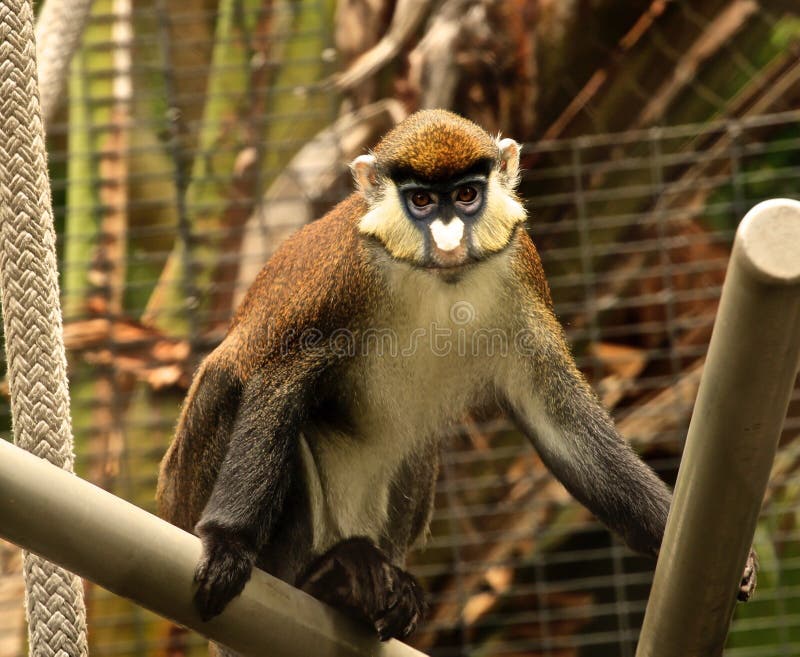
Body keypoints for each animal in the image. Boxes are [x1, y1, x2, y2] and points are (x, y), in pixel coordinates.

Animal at [157, 109, 757, 648]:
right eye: (421, 201)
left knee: (416, 452)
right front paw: (228, 546)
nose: (448, 236)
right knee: (230, 386)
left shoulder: (522, 274)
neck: (433, 278)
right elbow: (277, 380)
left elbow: (560, 423)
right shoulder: (341, 280)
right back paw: (324, 577)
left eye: (467, 195)